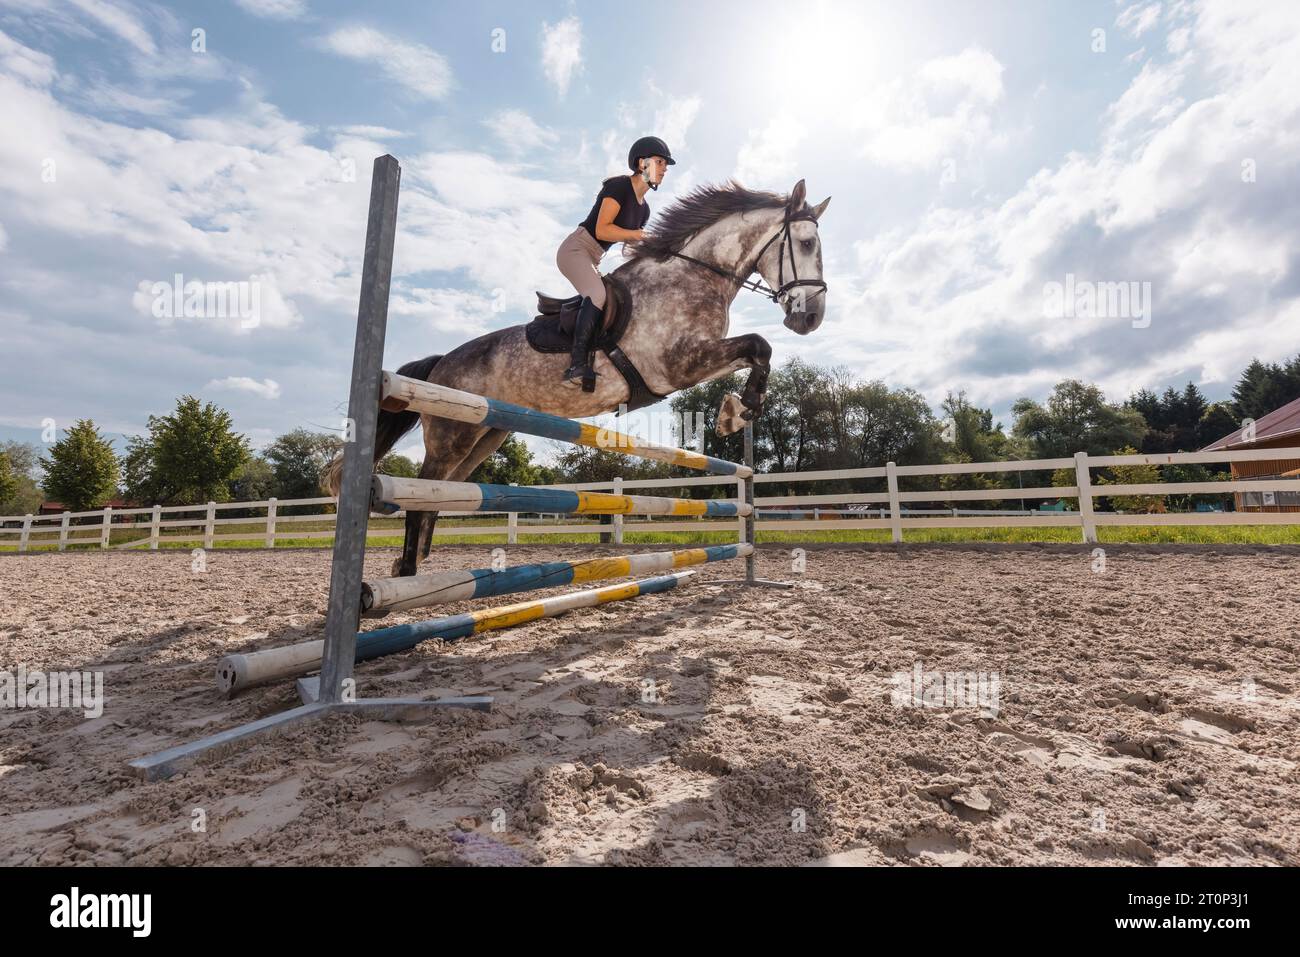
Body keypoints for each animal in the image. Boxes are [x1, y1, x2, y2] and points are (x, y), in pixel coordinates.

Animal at [328, 177, 831, 577]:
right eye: (807, 244)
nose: (811, 318)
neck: (695, 275)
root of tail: (441, 364)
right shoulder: (679, 362)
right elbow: (758, 344)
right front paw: (738, 410)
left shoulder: (695, 360)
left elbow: (757, 351)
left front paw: (736, 411)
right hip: (453, 435)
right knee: (423, 491)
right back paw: (406, 573)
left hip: (484, 436)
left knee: (441, 492)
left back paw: (414, 562)